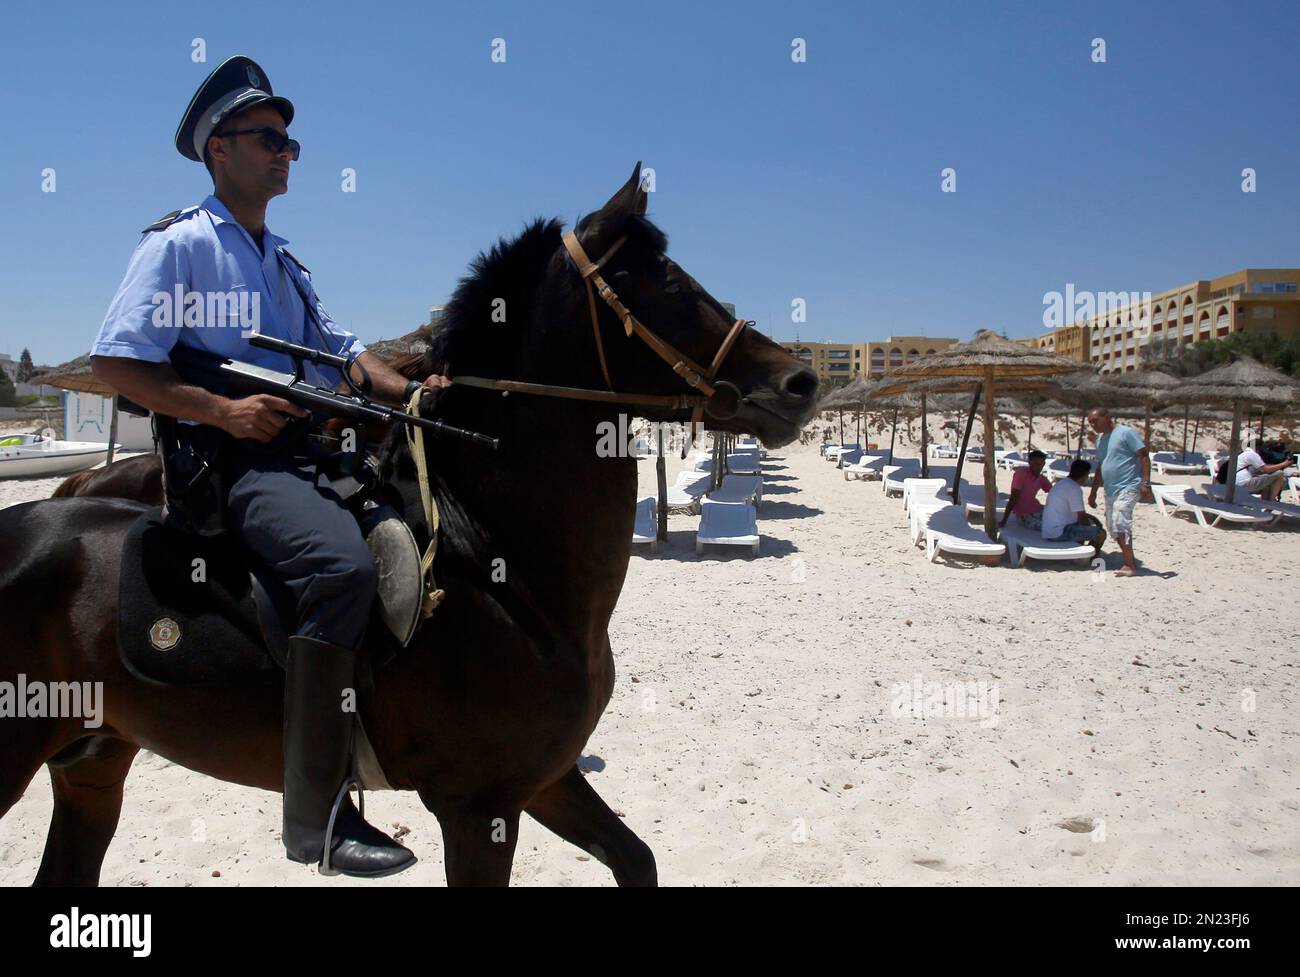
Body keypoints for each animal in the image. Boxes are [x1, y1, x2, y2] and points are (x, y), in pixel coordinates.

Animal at [0, 164, 818, 886]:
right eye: (669, 282)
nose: (800, 381)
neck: (497, 563)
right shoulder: (479, 808)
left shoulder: (548, 778)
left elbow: (636, 860)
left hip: (93, 761)